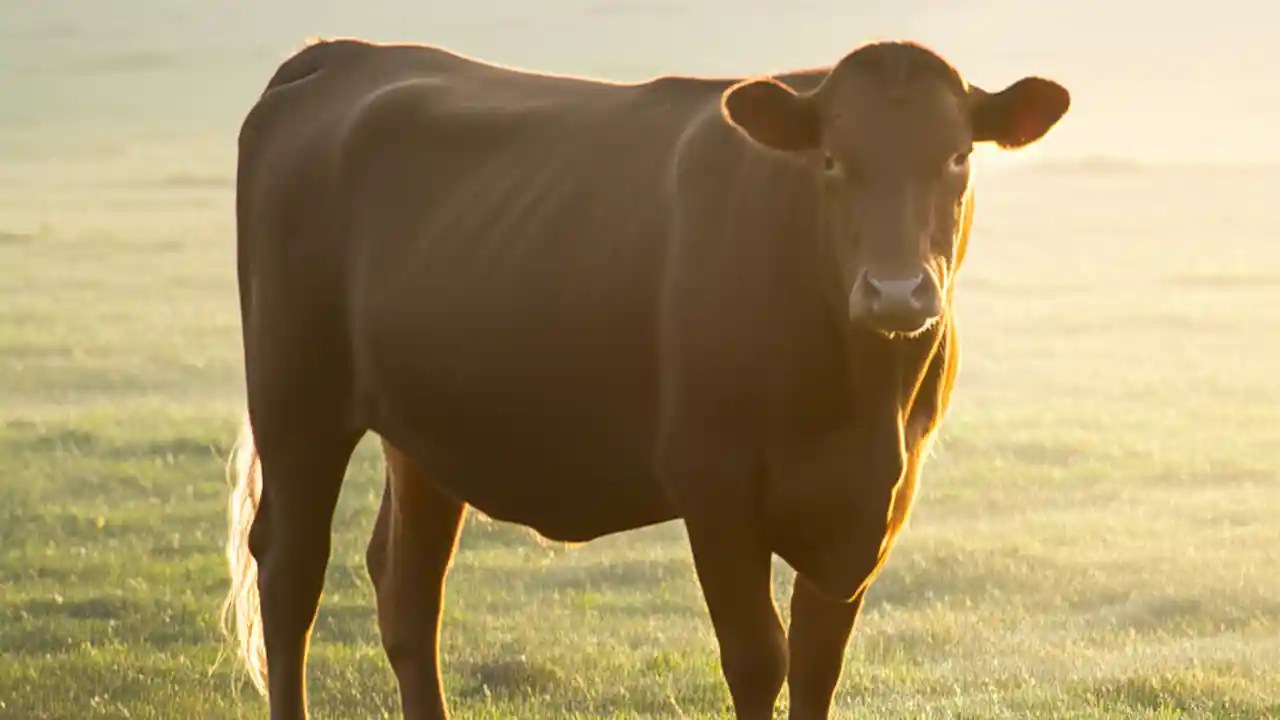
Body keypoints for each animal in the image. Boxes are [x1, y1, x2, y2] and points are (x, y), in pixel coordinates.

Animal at [223, 37, 1068, 720]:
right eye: (831, 160)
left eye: (957, 157)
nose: (896, 294)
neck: (864, 400)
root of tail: (344, 53)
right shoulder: (713, 483)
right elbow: (757, 659)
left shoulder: (871, 506)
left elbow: (816, 666)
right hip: (295, 398)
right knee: (291, 576)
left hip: (422, 434)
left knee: (407, 591)